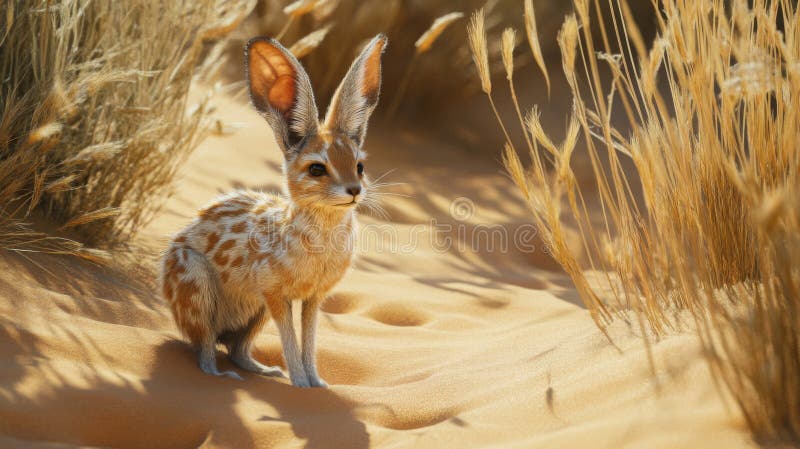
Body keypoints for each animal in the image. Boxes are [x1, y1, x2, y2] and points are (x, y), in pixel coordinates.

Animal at [159, 34, 387, 387]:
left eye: (359, 166)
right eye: (317, 169)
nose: (354, 190)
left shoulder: (312, 298)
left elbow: (309, 339)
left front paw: (317, 383)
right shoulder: (274, 293)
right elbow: (290, 340)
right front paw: (301, 383)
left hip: (256, 312)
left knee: (238, 349)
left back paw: (265, 371)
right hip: (198, 288)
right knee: (206, 348)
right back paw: (224, 375)